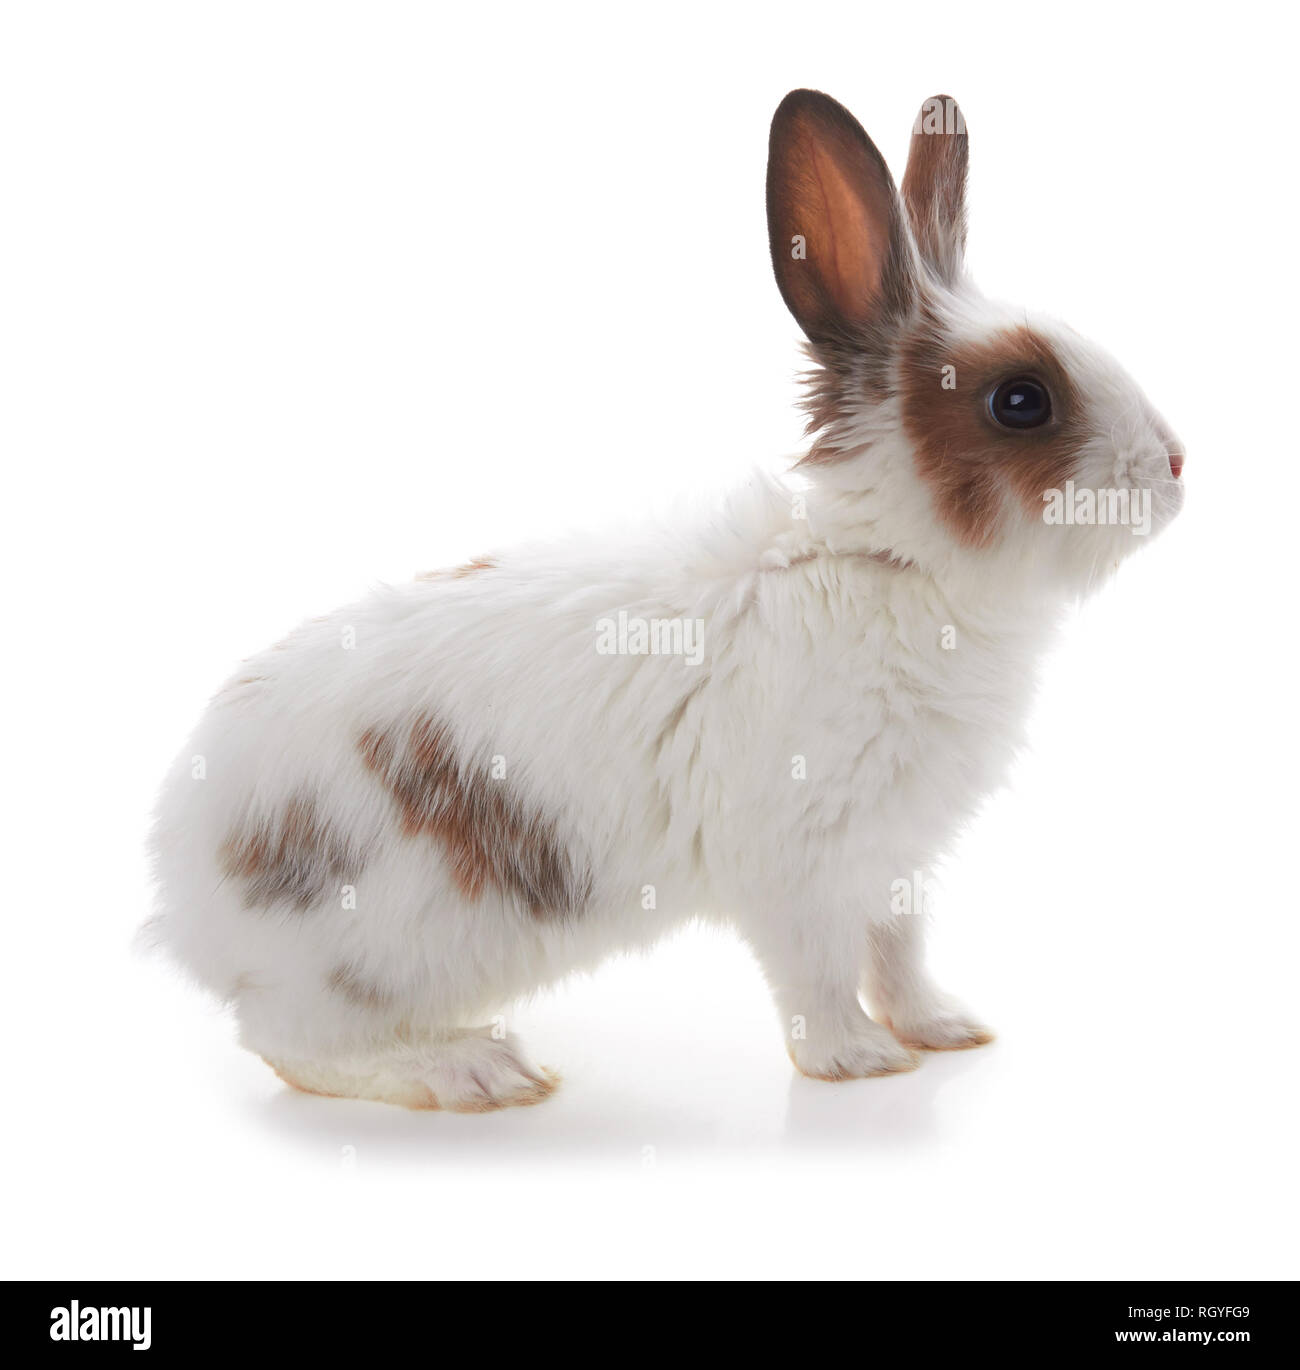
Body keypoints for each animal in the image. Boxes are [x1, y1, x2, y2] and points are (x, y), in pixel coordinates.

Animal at [146, 90, 1184, 1111]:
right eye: (1021, 401)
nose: (1175, 467)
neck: (893, 566)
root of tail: (188, 896)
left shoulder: (896, 859)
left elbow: (900, 955)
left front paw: (945, 1030)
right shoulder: (795, 861)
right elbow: (815, 972)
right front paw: (857, 1063)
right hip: (369, 947)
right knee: (292, 1044)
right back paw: (474, 1069)